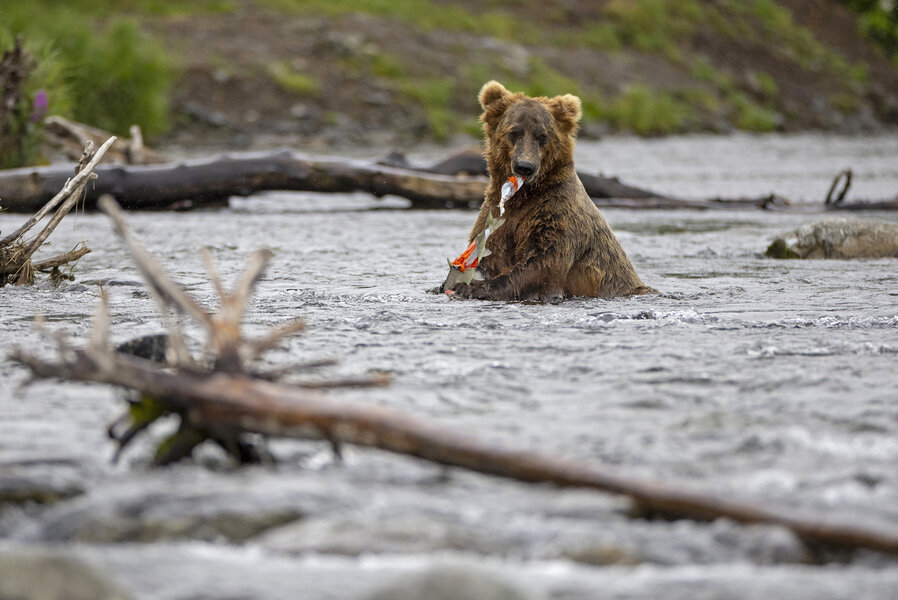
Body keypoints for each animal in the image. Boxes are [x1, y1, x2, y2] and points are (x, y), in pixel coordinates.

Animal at [441, 80, 654, 301]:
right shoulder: (495, 216)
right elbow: (493, 252)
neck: (524, 195)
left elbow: (542, 262)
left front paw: (470, 286)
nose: (525, 166)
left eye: (542, 136)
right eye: (514, 132)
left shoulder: (557, 213)